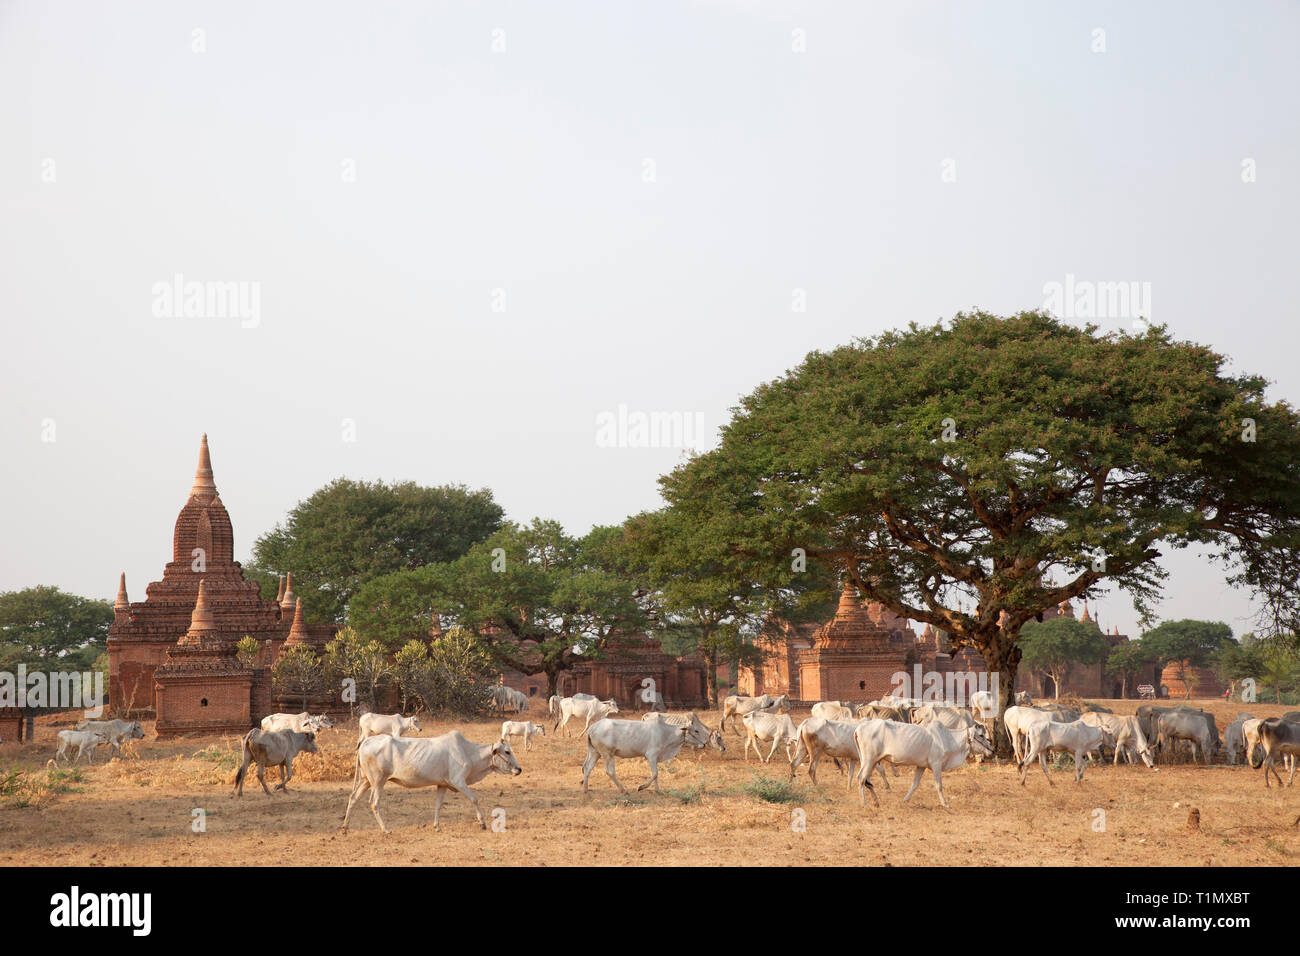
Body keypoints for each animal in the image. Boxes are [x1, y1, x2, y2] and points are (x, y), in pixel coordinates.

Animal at [342, 732, 522, 832]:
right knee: (373, 803)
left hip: (366, 781)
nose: (519, 769)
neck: (468, 752)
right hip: (378, 781)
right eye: (507, 751)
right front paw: (482, 823)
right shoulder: (458, 781)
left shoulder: (442, 785)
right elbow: (474, 799)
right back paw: (386, 830)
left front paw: (437, 826)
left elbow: (438, 805)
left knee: (353, 798)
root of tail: (365, 742)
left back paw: (345, 828)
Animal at [581, 716, 710, 794]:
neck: (666, 732)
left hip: (595, 752)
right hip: (607, 754)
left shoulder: (656, 758)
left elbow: (656, 775)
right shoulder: (651, 755)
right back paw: (624, 790)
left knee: (587, 767)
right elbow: (655, 773)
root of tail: (592, 727)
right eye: (696, 731)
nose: (704, 744)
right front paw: (641, 787)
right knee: (610, 771)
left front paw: (658, 791)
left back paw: (586, 789)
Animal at [854, 719, 992, 809]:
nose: (992, 750)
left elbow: (914, 784)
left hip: (872, 762)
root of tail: (858, 728)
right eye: (981, 735)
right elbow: (939, 785)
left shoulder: (921, 766)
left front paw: (905, 800)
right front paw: (946, 804)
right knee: (861, 778)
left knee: (867, 781)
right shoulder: (936, 764)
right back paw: (864, 804)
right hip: (869, 760)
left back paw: (876, 802)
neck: (948, 738)